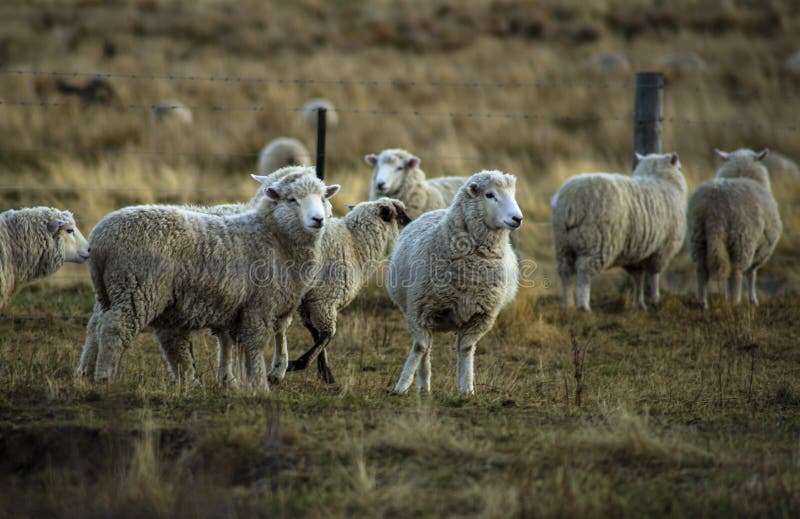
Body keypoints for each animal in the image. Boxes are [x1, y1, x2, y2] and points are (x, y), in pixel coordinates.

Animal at [77, 168, 340, 389]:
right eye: (292, 199)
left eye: (322, 198)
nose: (318, 219)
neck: (274, 236)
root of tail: (101, 237)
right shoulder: (259, 305)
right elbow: (255, 345)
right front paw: (259, 384)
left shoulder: (243, 307)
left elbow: (238, 342)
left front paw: (241, 382)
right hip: (137, 288)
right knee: (115, 328)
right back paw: (104, 377)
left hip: (110, 292)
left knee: (97, 326)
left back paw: (87, 373)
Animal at [387, 171, 522, 395]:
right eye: (490, 194)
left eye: (513, 194)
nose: (517, 218)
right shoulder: (420, 310)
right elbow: (420, 348)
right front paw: (402, 385)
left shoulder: (480, 316)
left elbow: (466, 349)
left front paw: (466, 389)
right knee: (427, 348)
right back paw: (424, 386)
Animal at [551, 152, 687, 311]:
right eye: (680, 168)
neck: (659, 178)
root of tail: (570, 202)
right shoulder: (662, 250)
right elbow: (654, 276)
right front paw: (655, 300)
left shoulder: (636, 254)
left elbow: (638, 278)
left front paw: (639, 303)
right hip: (598, 242)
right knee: (584, 272)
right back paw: (583, 306)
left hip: (563, 244)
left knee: (566, 273)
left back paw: (568, 304)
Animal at [687, 149, 782, 308]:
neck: (741, 174)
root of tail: (714, 205)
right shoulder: (761, 250)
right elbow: (751, 274)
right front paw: (753, 300)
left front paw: (726, 297)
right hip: (742, 239)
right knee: (736, 273)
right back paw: (735, 302)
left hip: (697, 235)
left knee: (701, 270)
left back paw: (703, 303)